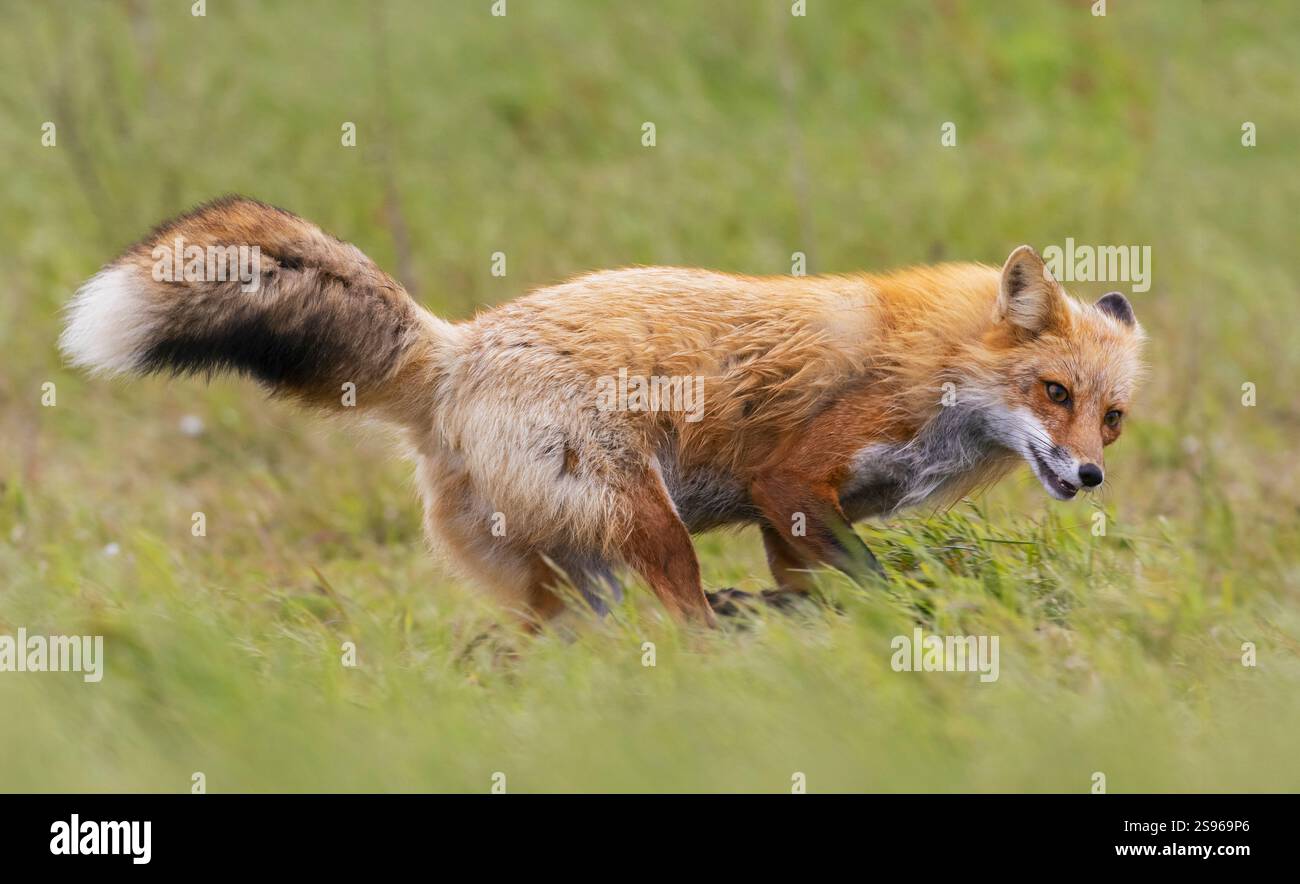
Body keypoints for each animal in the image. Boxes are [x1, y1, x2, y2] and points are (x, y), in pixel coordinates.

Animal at [60, 197, 1145, 628]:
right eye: (1053, 393)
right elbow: (865, 580)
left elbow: (825, 591)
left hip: (572, 585)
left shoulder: (792, 519)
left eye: (1113, 417)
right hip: (651, 529)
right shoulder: (790, 478)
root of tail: (456, 348)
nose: (1091, 476)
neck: (940, 367)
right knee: (688, 632)